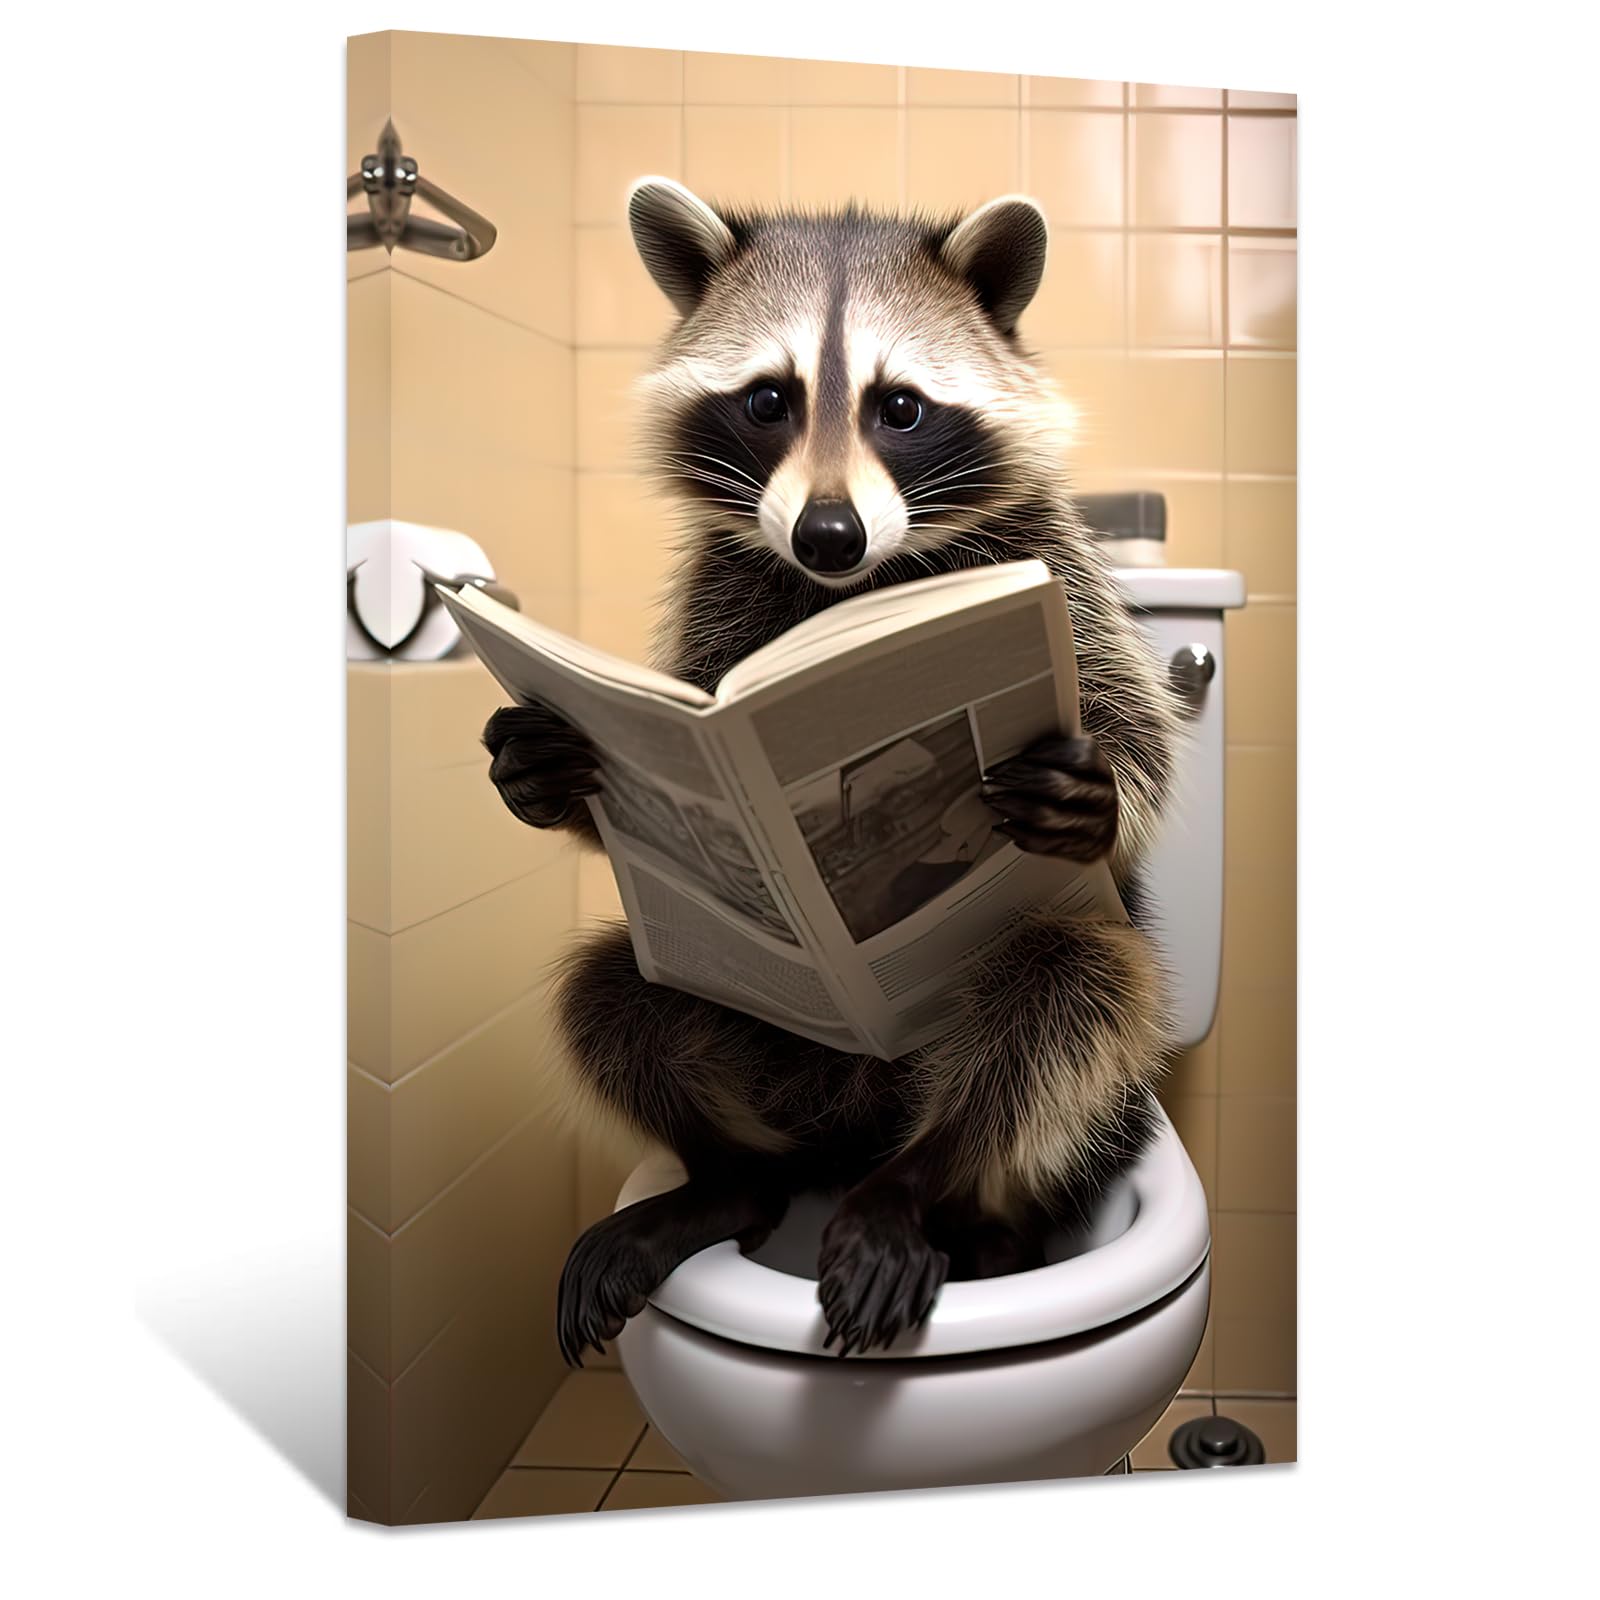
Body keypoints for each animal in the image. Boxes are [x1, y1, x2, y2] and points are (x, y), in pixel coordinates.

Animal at [484, 178, 1184, 1364]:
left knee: (1068, 983)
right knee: (613, 993)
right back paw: (722, 1180)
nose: (826, 534)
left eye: (899, 408)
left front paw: (1099, 794)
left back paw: (931, 1187)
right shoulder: (722, 595)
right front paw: (551, 770)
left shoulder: (1053, 565)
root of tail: (852, 1131)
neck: (852, 593)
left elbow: (1138, 727)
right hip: (765, 1047)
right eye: (769, 399)